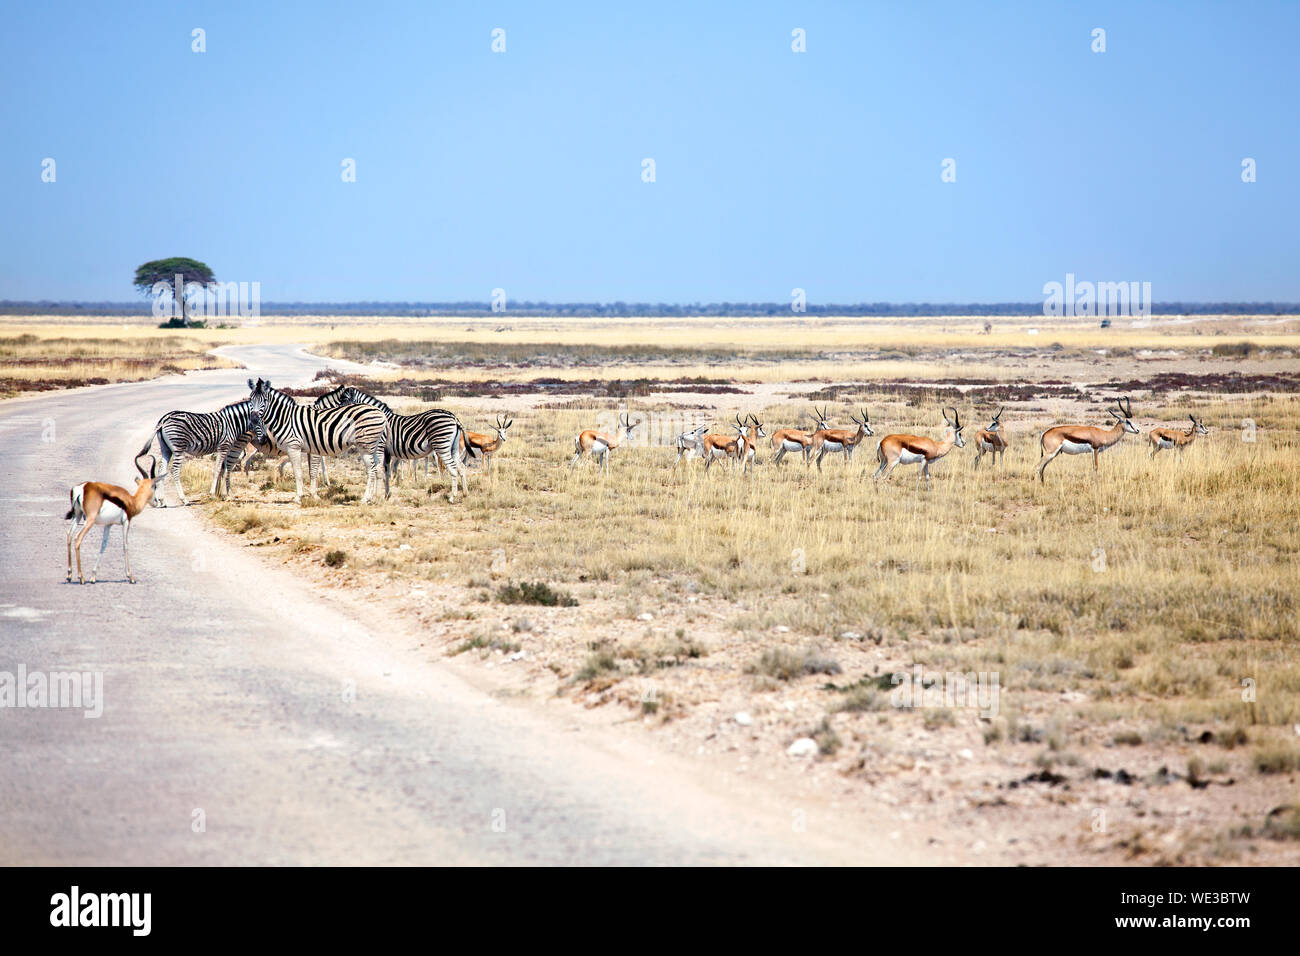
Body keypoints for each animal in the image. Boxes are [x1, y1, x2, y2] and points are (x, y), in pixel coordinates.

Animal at [65, 455, 163, 585]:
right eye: (155, 486)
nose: (157, 501)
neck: (131, 501)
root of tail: (82, 487)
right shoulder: (126, 522)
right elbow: (125, 545)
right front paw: (130, 576)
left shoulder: (109, 524)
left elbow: (103, 545)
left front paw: (93, 576)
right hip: (89, 521)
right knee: (77, 538)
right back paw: (81, 577)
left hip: (78, 516)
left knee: (69, 535)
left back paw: (69, 575)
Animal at [136, 400, 266, 506]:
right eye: (259, 422)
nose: (264, 440)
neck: (233, 422)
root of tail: (164, 418)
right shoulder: (223, 446)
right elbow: (218, 470)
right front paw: (213, 494)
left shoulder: (227, 448)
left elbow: (224, 470)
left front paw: (224, 494)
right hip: (179, 447)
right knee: (175, 470)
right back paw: (184, 500)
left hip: (166, 449)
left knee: (161, 470)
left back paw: (162, 500)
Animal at [246, 378, 386, 504]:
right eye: (251, 399)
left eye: (264, 400)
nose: (254, 419)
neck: (285, 418)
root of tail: (381, 413)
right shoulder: (311, 448)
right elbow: (311, 472)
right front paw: (312, 494)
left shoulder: (294, 447)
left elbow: (300, 472)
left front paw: (299, 497)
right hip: (373, 446)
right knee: (378, 468)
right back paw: (376, 498)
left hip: (365, 446)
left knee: (372, 470)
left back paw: (366, 499)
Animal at [314, 384, 472, 501]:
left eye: (344, 400)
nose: (337, 412)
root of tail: (454, 418)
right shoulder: (388, 452)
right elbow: (386, 472)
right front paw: (386, 495)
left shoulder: (379, 447)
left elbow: (378, 471)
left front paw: (375, 496)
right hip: (453, 447)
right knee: (461, 467)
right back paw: (465, 494)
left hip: (442, 445)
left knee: (453, 468)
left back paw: (452, 497)